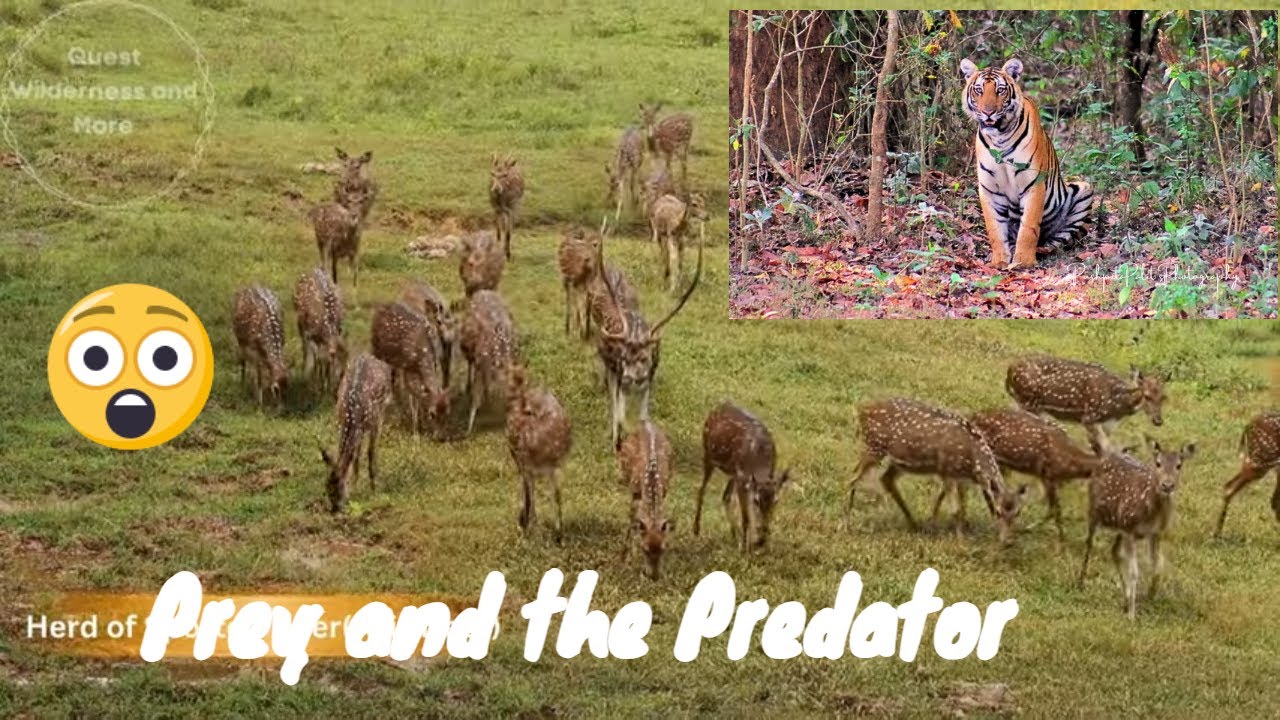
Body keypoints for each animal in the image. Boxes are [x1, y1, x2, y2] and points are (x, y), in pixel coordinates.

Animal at [960, 58, 1094, 269]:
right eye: (979, 90)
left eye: (1000, 90)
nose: (988, 112)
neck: (999, 137)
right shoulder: (989, 189)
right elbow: (994, 229)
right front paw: (999, 261)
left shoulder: (1034, 184)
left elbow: (1029, 227)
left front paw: (1023, 262)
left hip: (1083, 190)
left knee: (1062, 237)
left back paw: (1044, 249)